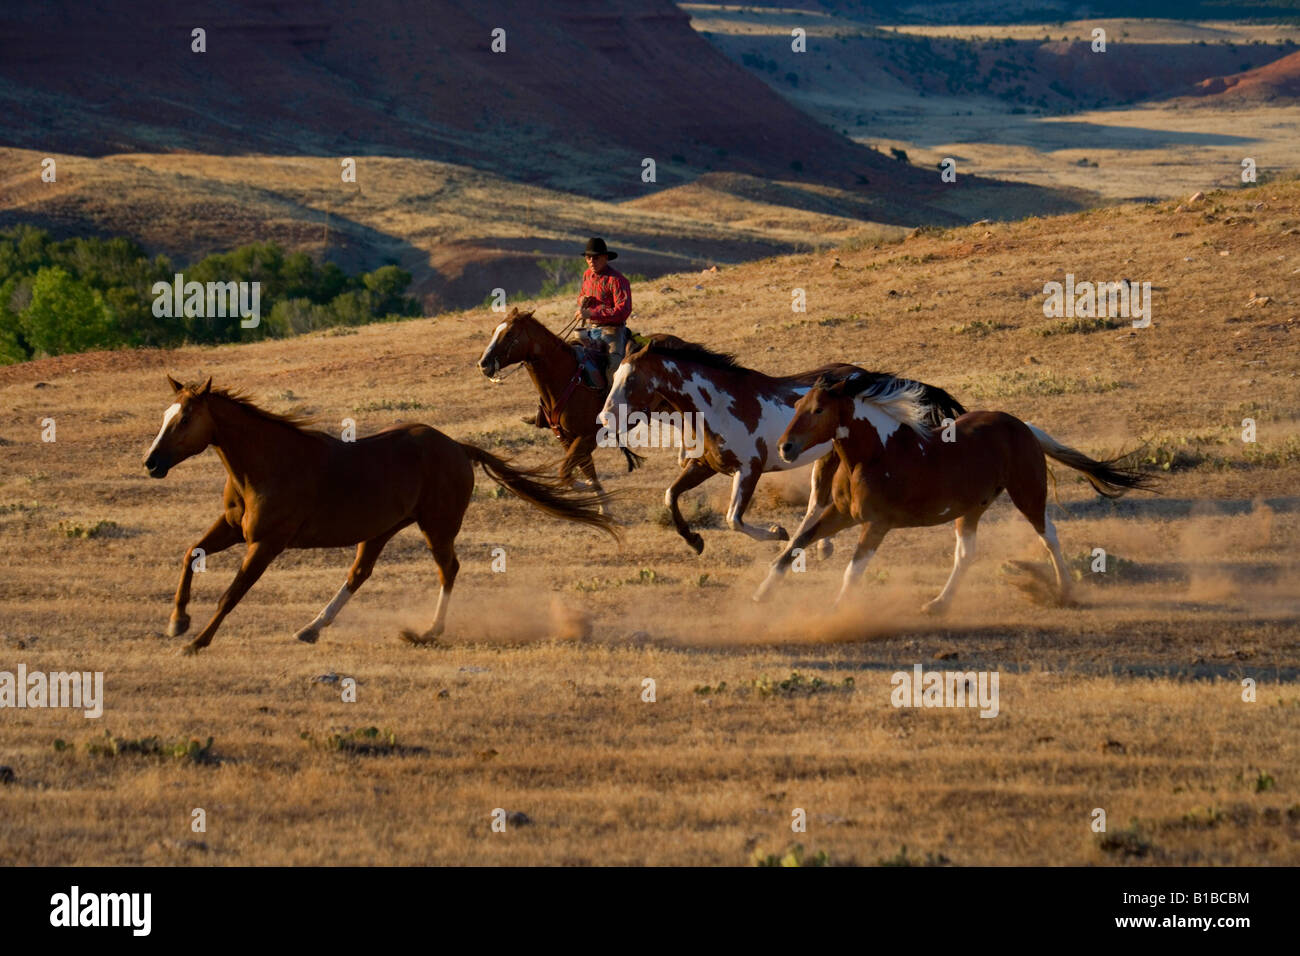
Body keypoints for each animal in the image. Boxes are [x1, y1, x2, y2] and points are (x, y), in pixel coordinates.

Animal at [143, 376, 619, 655]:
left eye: (185, 418)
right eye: (166, 414)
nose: (151, 463)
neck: (264, 464)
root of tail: (457, 447)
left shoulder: (266, 543)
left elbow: (231, 594)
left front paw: (196, 641)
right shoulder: (232, 528)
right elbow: (190, 554)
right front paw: (177, 622)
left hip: (436, 526)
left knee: (448, 569)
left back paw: (426, 632)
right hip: (381, 530)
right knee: (359, 574)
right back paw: (312, 628)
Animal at [477, 308, 643, 512]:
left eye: (509, 333)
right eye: (494, 331)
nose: (483, 364)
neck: (568, 379)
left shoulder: (587, 437)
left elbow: (566, 471)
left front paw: (585, 488)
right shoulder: (564, 437)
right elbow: (585, 469)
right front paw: (601, 503)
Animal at [597, 336, 966, 554]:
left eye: (632, 379)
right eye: (615, 377)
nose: (604, 419)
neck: (716, 404)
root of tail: (865, 378)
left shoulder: (749, 469)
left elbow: (733, 519)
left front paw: (777, 532)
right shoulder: (705, 465)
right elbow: (670, 495)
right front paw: (695, 540)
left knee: (816, 503)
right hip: (828, 458)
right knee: (819, 501)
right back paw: (821, 544)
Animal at [753, 370, 1156, 610]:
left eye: (819, 409)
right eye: (798, 404)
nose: (786, 447)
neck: (873, 455)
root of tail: (1022, 426)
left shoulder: (876, 524)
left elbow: (852, 570)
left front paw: (838, 608)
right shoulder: (840, 515)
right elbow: (794, 547)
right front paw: (763, 592)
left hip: (1028, 493)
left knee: (1049, 536)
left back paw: (1064, 591)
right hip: (971, 508)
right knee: (966, 553)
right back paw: (939, 603)